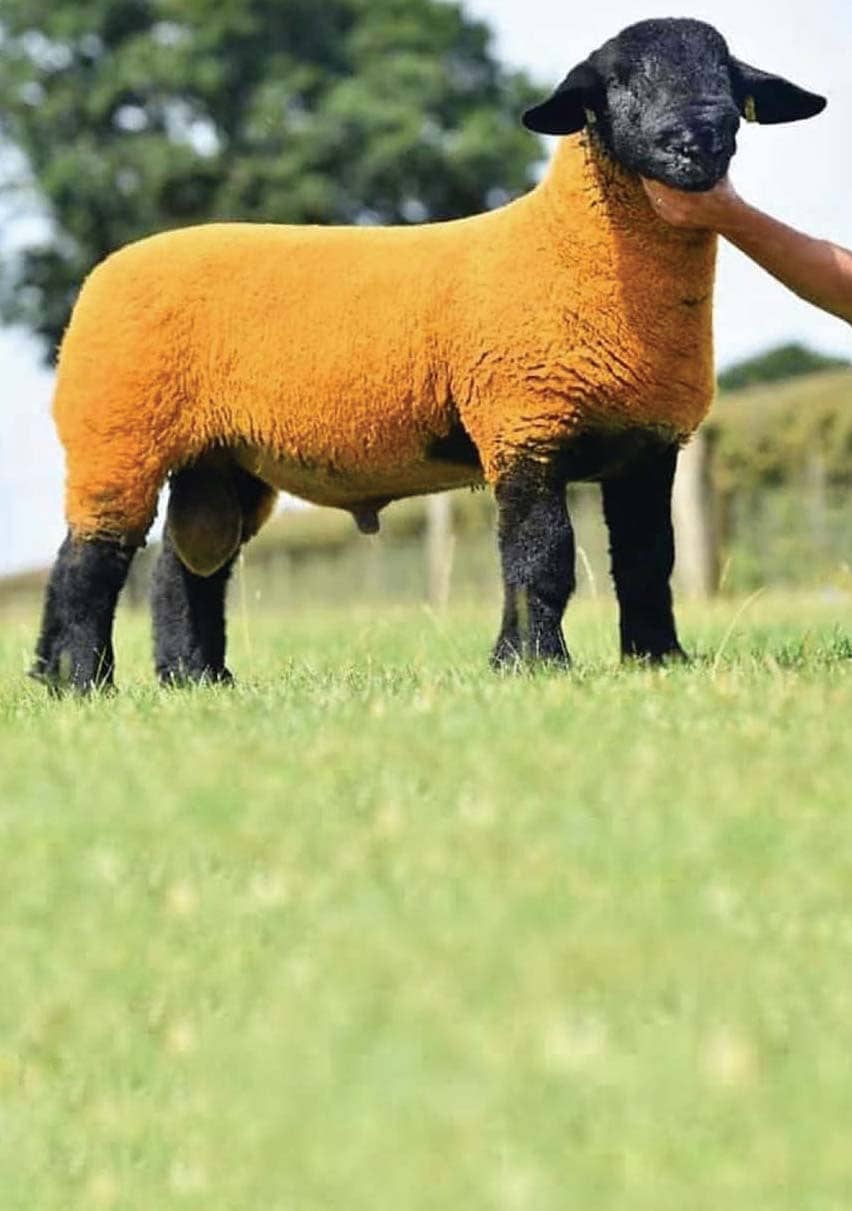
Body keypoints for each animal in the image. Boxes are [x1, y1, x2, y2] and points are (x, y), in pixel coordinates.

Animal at [30, 17, 826, 691]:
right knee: (89, 562)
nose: (700, 141)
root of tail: (108, 270)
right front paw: (536, 664)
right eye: (617, 82)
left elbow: (646, 558)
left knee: (185, 565)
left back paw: (192, 678)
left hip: (220, 458)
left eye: (725, 76)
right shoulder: (523, 423)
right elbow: (541, 557)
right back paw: (81, 682)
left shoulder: (647, 444)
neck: (566, 249)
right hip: (117, 432)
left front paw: (656, 659)